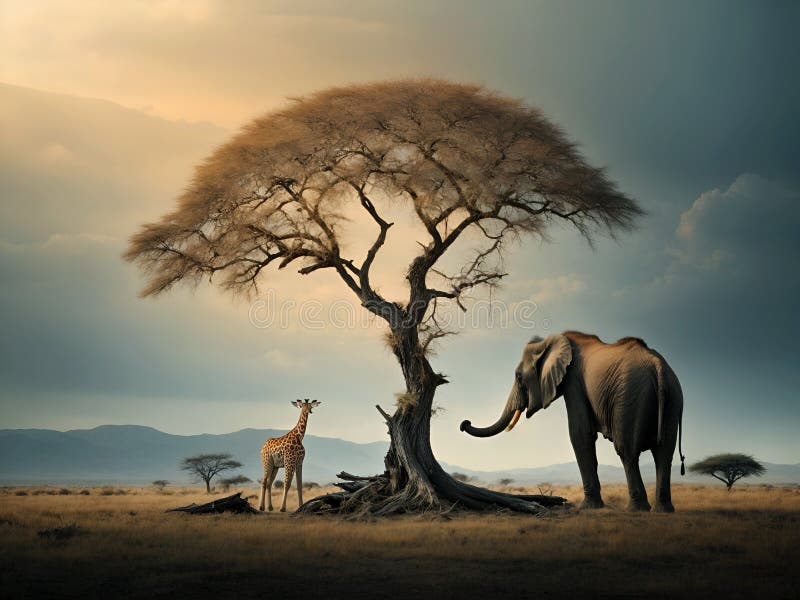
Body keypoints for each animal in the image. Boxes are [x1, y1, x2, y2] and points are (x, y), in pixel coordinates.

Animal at [460, 331, 685, 512]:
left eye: (518, 376)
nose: (464, 423)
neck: (552, 340)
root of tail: (659, 368)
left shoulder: (573, 380)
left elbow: (580, 433)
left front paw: (587, 508)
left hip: (630, 396)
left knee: (627, 451)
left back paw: (636, 510)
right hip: (673, 398)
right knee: (665, 452)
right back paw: (662, 511)